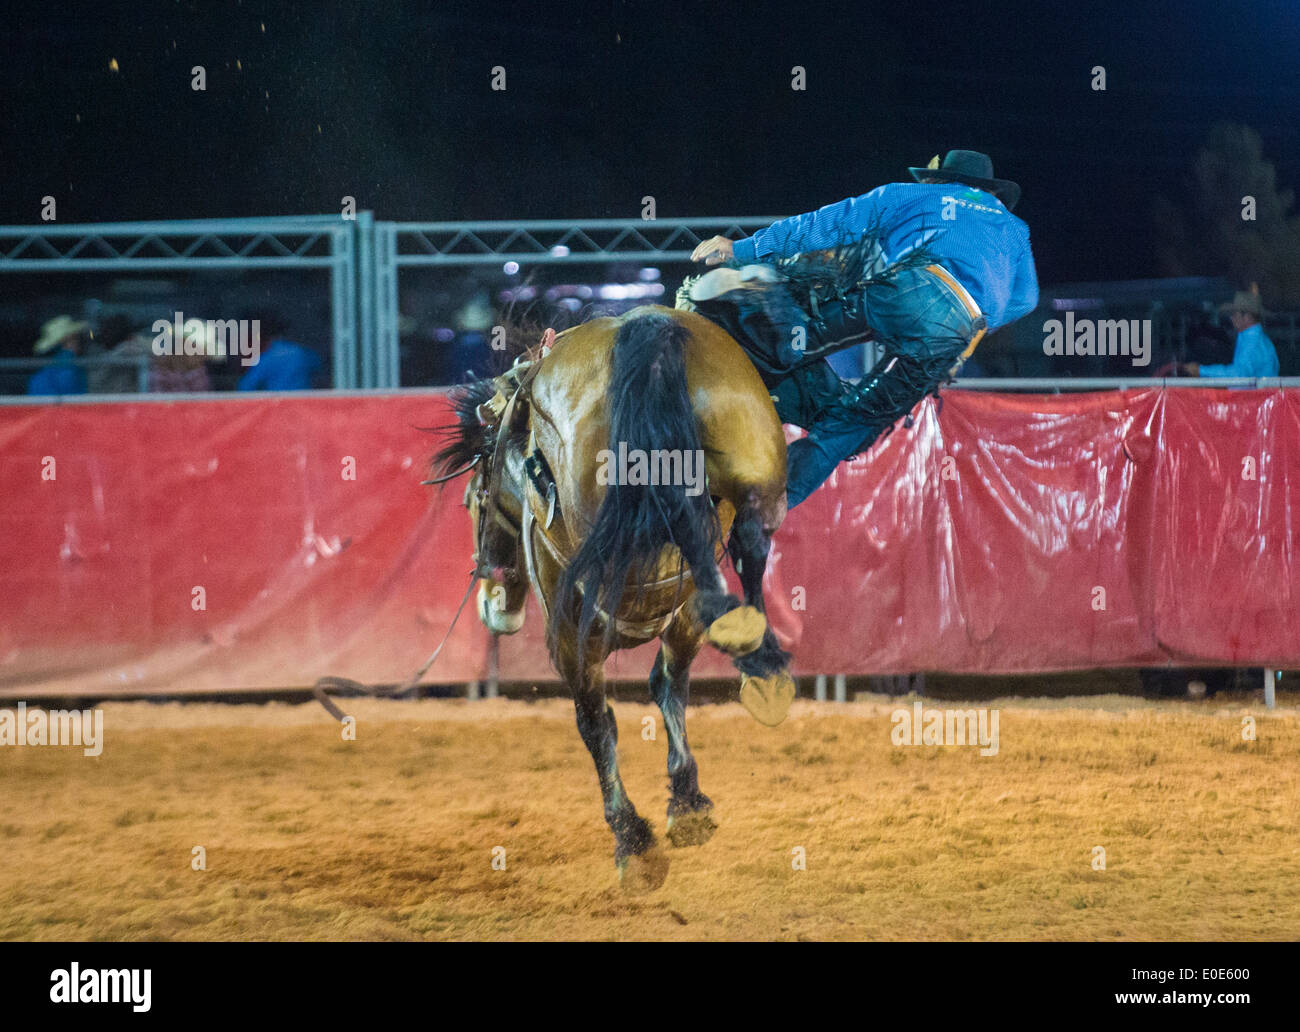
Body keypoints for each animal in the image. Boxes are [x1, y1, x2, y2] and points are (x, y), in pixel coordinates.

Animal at [433, 304, 795, 891]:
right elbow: (668, 685)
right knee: (746, 537)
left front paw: (633, 840)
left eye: (472, 500)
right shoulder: (679, 622)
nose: (491, 602)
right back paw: (760, 658)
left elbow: (596, 723)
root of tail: (646, 329)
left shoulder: (570, 639)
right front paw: (687, 804)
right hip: (753, 464)